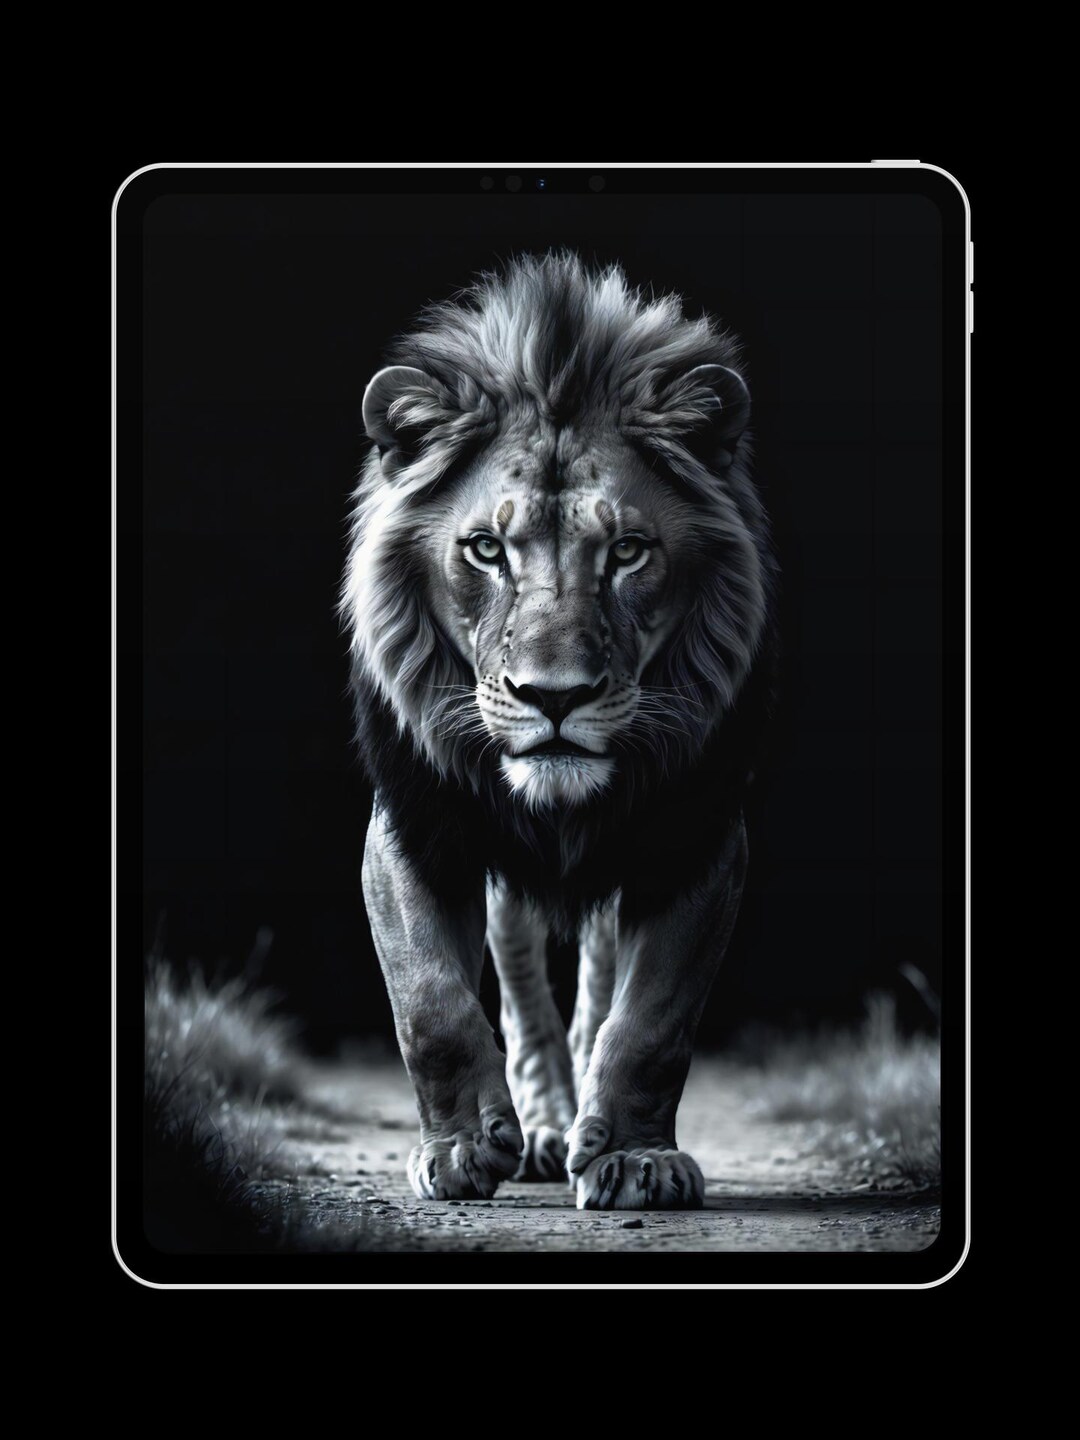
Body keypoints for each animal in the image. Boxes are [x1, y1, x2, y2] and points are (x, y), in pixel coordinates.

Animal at [342, 252, 776, 1210]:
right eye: (485, 550)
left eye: (627, 552)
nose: (555, 696)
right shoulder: (415, 823)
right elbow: (431, 1001)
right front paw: (462, 1149)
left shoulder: (695, 839)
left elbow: (650, 1020)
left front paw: (637, 1161)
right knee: (518, 976)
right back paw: (540, 1126)